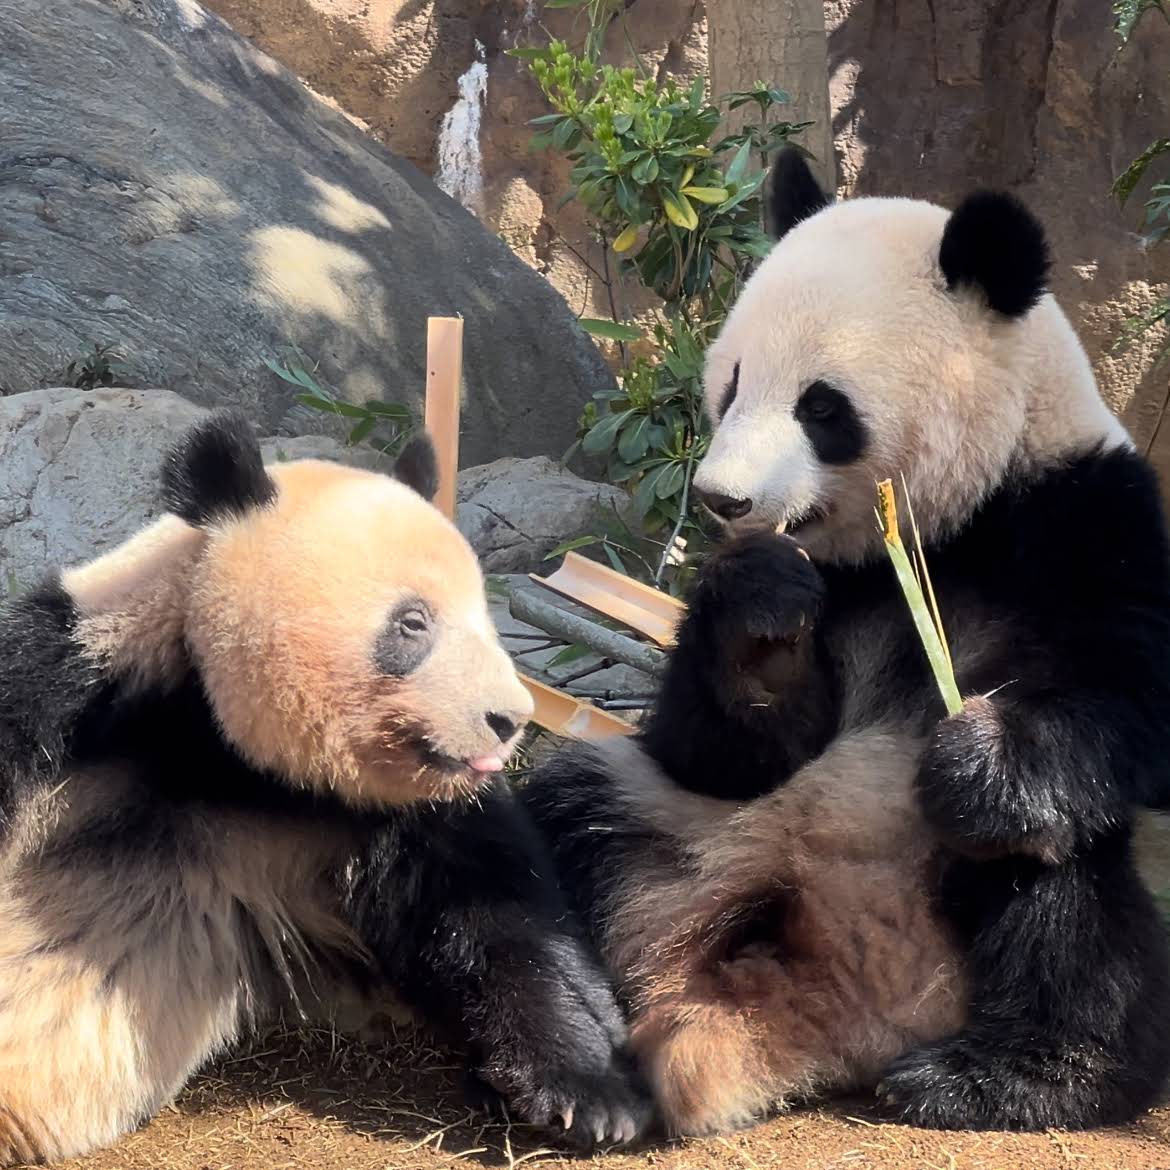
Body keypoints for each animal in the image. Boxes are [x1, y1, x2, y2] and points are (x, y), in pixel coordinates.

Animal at [0, 412, 650, 1165]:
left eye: (488, 619)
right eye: (413, 622)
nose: (508, 720)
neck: (218, 746)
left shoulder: (401, 812)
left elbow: (500, 917)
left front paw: (591, 1098)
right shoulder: (68, 681)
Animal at [521, 147, 1170, 1136]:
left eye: (822, 408)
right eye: (733, 383)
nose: (723, 499)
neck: (935, 530)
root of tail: (854, 1007)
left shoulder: (1085, 514)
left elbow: (1132, 699)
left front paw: (982, 759)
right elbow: (717, 748)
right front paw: (760, 613)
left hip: (967, 890)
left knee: (1060, 883)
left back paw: (1011, 1075)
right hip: (687, 838)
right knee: (577, 807)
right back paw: (576, 1061)